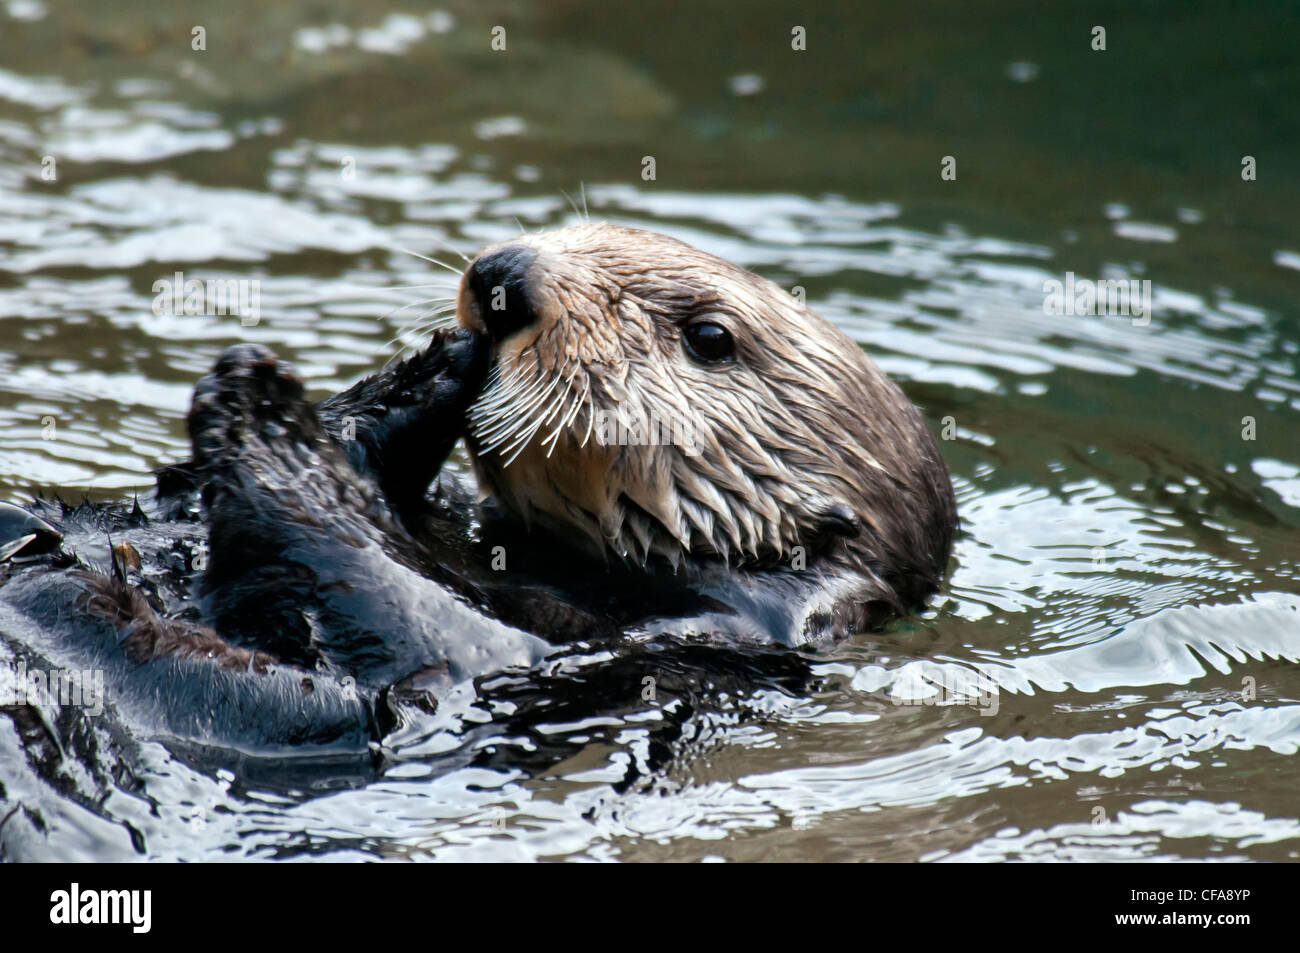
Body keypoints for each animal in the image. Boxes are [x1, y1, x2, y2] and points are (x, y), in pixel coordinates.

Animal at [0, 223, 956, 756]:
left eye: (710, 337)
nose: (504, 275)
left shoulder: (623, 651)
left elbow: (431, 645)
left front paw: (268, 421)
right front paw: (423, 374)